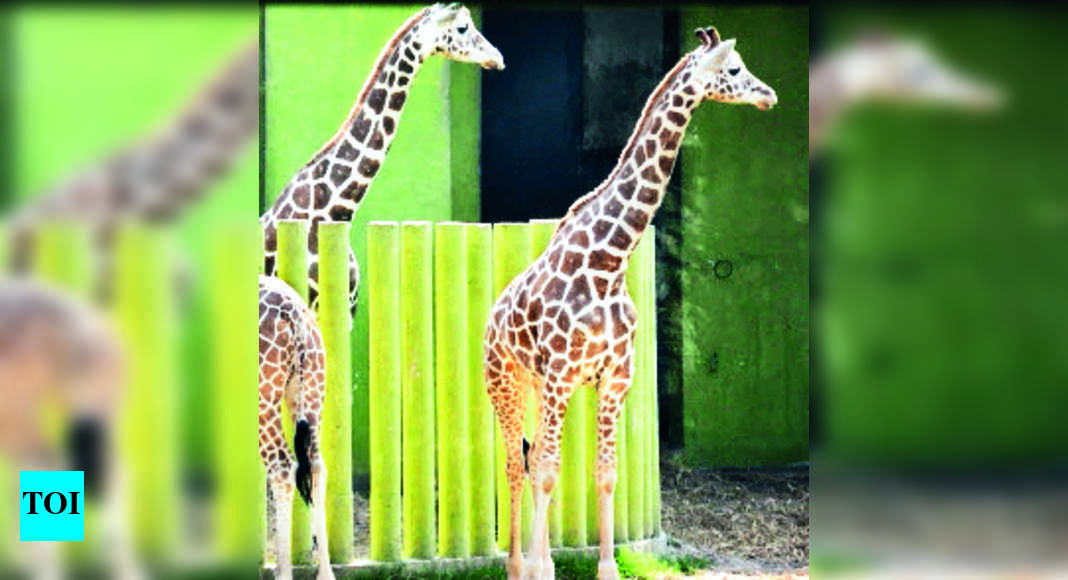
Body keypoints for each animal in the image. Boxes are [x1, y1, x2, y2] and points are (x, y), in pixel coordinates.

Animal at [483, 27, 777, 580]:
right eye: (732, 69)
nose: (768, 94)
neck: (609, 262)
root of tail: (490, 320)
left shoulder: (616, 376)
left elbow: (604, 472)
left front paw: (604, 569)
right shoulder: (563, 374)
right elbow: (550, 471)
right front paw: (541, 568)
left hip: (535, 386)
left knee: (529, 463)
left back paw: (530, 560)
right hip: (504, 383)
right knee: (516, 463)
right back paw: (518, 565)